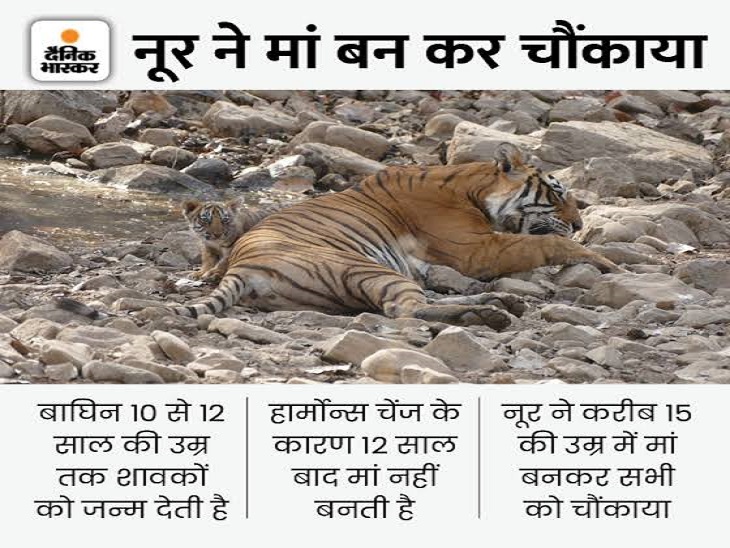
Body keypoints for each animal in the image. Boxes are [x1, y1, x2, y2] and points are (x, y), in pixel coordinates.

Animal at [171, 144, 619, 330]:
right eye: (557, 195)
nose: (580, 223)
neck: (471, 186)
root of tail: (241, 265)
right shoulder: (476, 250)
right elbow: (550, 243)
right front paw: (608, 262)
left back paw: (498, 303)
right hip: (364, 267)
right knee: (405, 312)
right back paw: (487, 313)